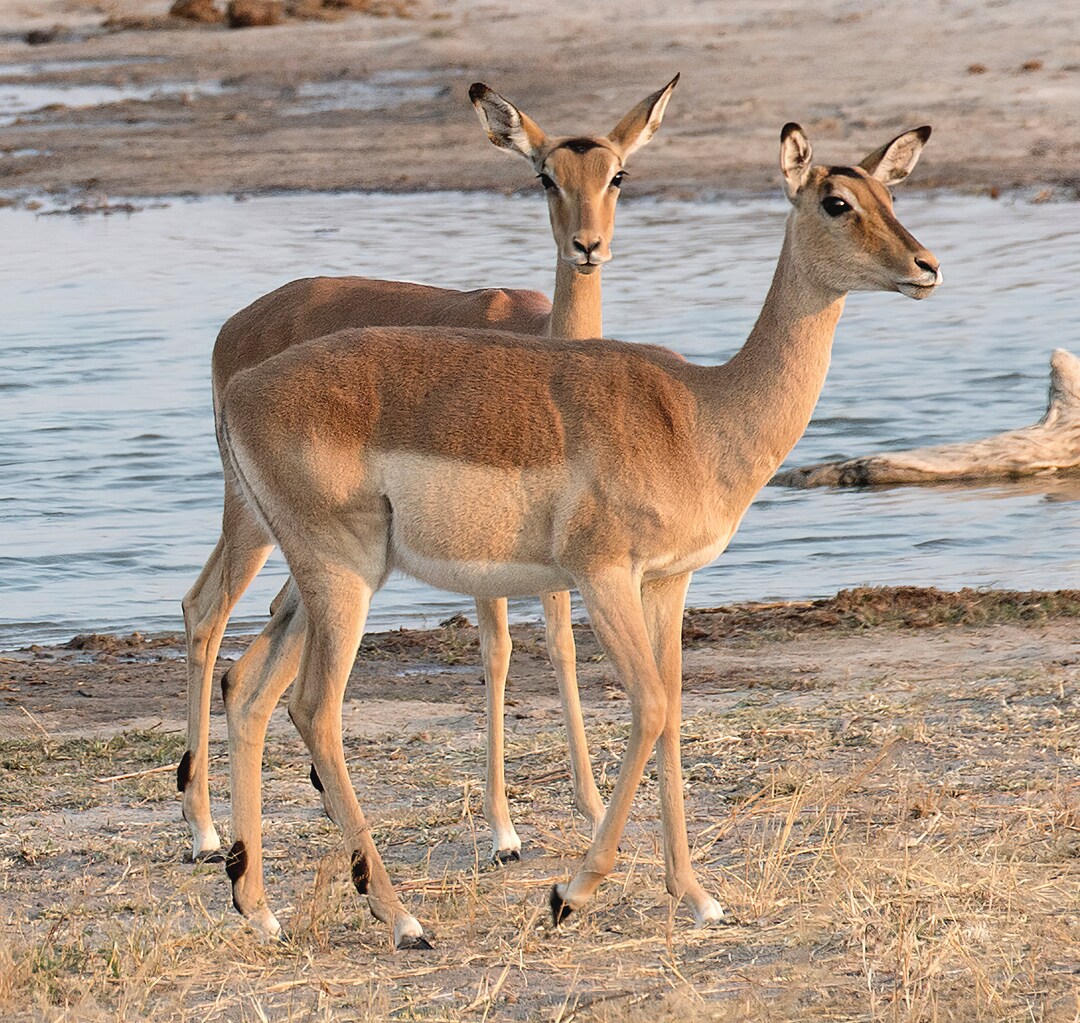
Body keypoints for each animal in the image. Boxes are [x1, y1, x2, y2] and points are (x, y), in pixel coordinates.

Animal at [179, 77, 680, 875]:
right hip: (251, 518)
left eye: (618, 174)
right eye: (545, 176)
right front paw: (505, 831)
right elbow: (499, 653)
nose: (588, 246)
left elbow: (564, 648)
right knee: (205, 612)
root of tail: (236, 325)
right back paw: (202, 831)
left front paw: (593, 806)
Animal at [216, 121, 941, 948]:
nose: (926, 267)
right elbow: (649, 705)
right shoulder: (603, 575)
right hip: (341, 579)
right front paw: (570, 892)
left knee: (250, 690)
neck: (700, 411)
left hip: (322, 583)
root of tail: (239, 386)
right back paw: (403, 919)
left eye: (891, 193)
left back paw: (261, 909)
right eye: (836, 201)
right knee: (314, 708)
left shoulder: (669, 581)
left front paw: (697, 895)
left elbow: (674, 708)